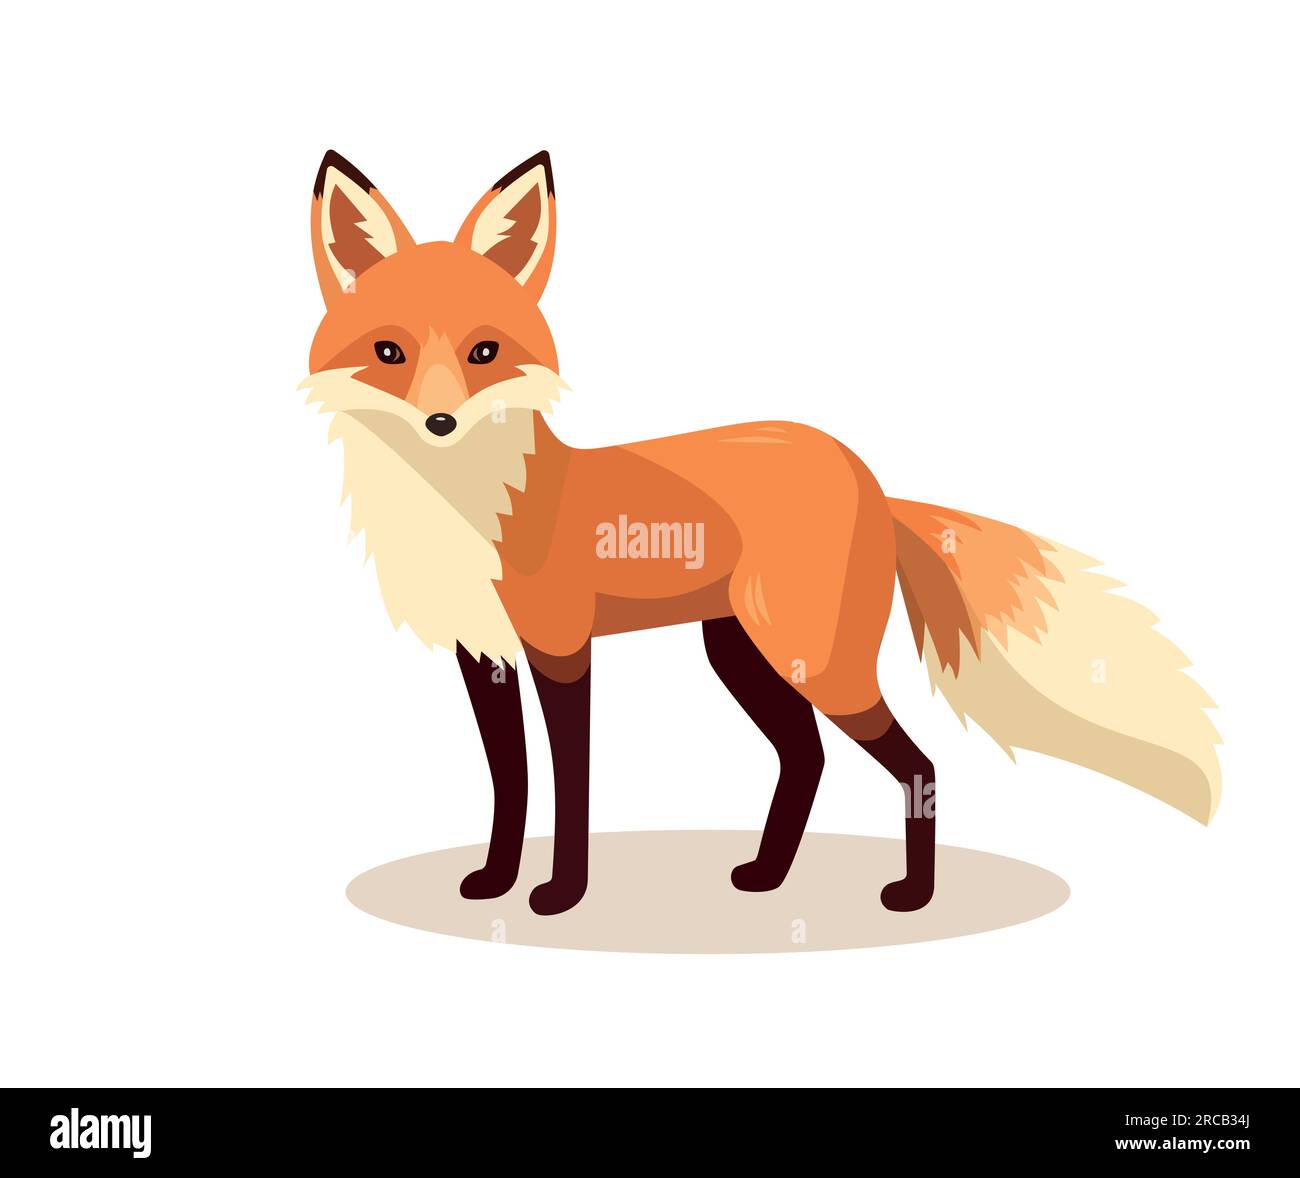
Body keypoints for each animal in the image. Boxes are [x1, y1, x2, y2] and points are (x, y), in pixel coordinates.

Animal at [303, 149, 1220, 917]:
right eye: (388, 353)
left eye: (485, 352)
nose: (441, 423)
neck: (472, 508)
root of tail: (870, 479)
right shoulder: (484, 656)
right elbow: (510, 784)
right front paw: (494, 882)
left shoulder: (563, 650)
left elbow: (571, 786)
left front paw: (560, 895)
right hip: (744, 654)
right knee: (806, 758)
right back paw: (769, 875)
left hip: (815, 662)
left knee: (916, 764)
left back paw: (911, 896)